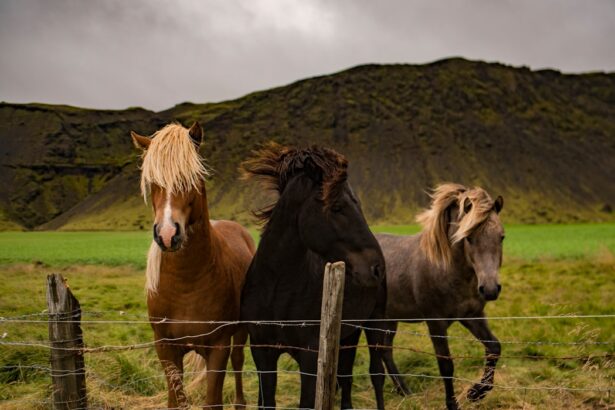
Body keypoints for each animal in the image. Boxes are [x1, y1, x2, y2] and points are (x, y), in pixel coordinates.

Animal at [130, 122, 255, 410]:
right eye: (152, 182)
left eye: (191, 178)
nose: (167, 235)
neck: (186, 283)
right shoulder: (165, 347)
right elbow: (175, 401)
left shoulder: (219, 347)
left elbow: (213, 401)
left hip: (240, 333)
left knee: (239, 361)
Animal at [239, 142, 388, 410]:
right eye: (337, 207)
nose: (376, 268)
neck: (277, 290)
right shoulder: (262, 352)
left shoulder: (310, 357)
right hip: (349, 333)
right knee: (346, 378)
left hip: (375, 324)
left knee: (377, 375)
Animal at [376, 183, 506, 410]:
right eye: (468, 237)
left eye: (501, 236)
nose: (490, 289)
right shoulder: (435, 323)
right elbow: (446, 365)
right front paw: (453, 404)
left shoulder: (472, 316)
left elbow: (494, 347)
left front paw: (476, 393)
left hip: (389, 318)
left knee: (385, 350)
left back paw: (405, 392)